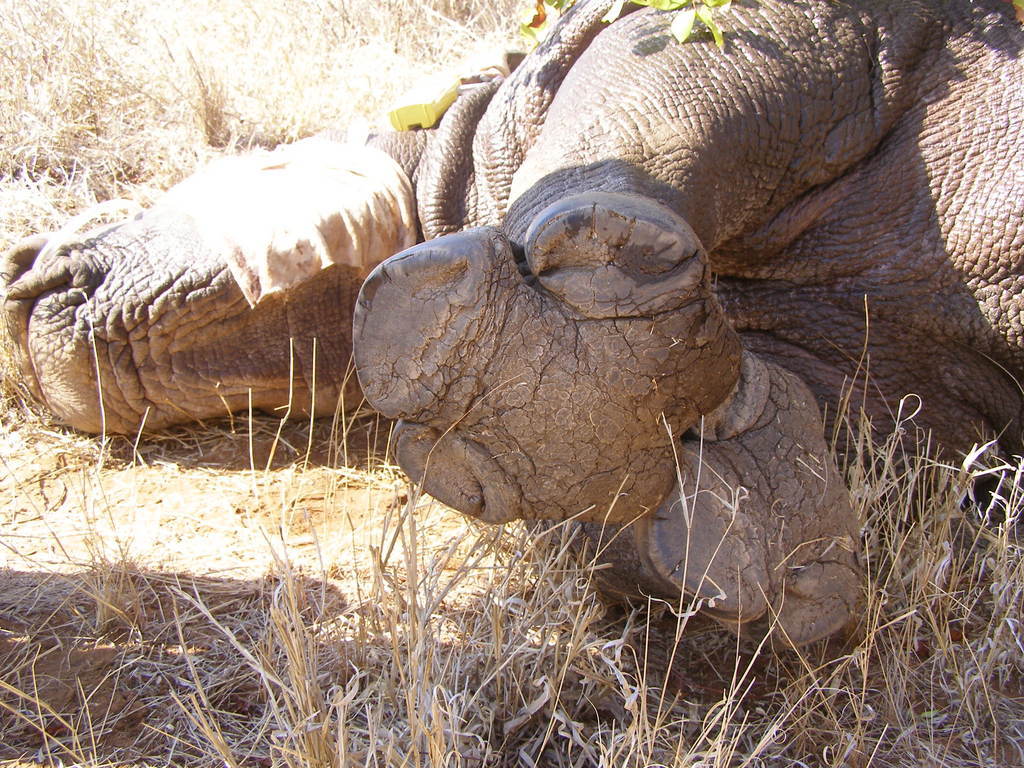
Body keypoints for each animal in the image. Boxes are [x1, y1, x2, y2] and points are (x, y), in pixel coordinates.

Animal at [3, 0, 1022, 645]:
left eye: (156, 198)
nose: (20, 278)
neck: (439, 158)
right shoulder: (895, 398)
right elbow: (625, 496)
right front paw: (747, 534)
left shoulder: (833, 24)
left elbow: (663, 90)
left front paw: (531, 359)